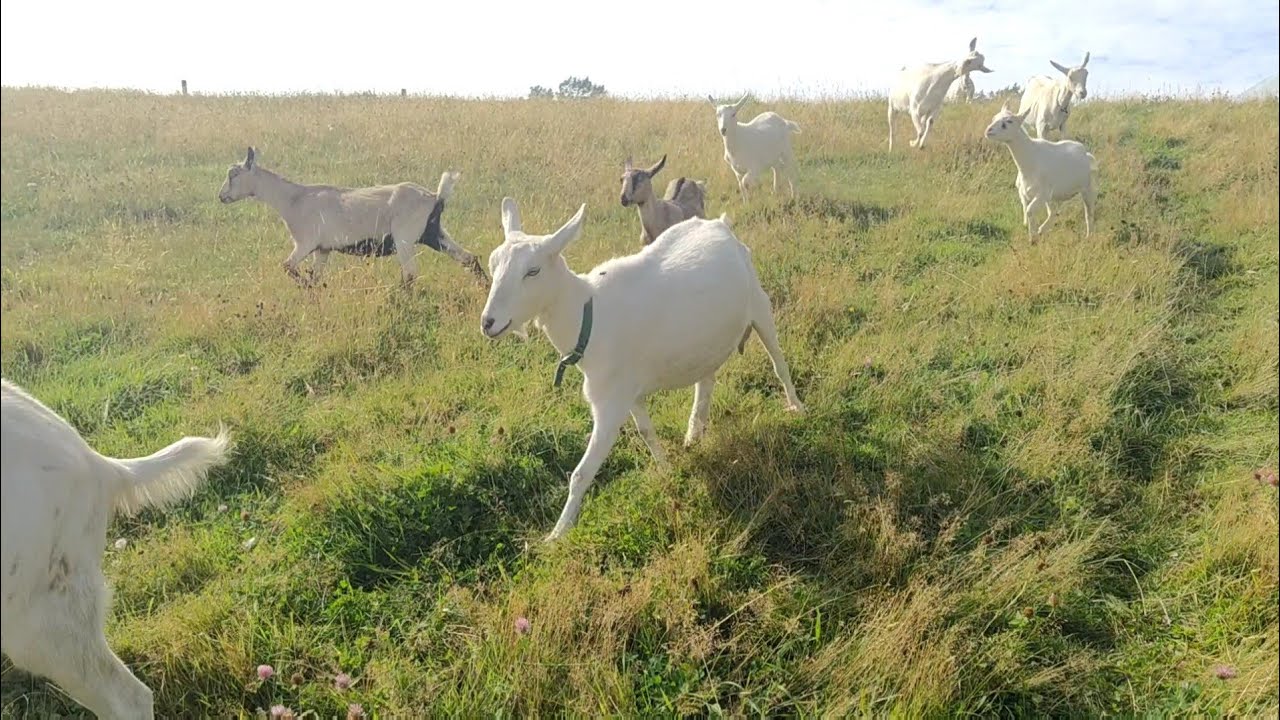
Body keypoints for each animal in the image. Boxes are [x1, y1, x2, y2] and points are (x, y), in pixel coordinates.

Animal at [218, 147, 488, 288]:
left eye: (233, 174)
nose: (221, 196)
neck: (292, 198)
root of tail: (435, 196)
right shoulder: (322, 249)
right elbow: (315, 277)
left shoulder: (305, 243)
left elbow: (287, 267)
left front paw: (304, 287)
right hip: (433, 233)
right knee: (468, 258)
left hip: (404, 237)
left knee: (410, 273)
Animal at [479, 200, 803, 541]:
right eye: (492, 264)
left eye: (533, 271)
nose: (488, 322)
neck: (588, 316)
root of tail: (720, 223)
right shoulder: (629, 392)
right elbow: (646, 432)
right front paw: (668, 469)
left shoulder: (609, 404)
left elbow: (581, 473)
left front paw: (557, 534)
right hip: (707, 339)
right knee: (706, 380)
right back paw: (694, 433)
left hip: (760, 305)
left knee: (778, 361)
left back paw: (797, 407)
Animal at [983, 105, 1097, 240]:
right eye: (994, 118)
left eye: (1009, 121)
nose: (988, 131)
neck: (1031, 159)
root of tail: (1086, 154)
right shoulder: (1025, 194)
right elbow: (1027, 212)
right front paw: (1033, 234)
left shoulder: (1042, 193)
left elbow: (1029, 211)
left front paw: (1033, 238)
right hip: (1053, 196)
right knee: (1053, 212)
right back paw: (1043, 229)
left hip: (1088, 188)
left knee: (1088, 213)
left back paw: (1088, 236)